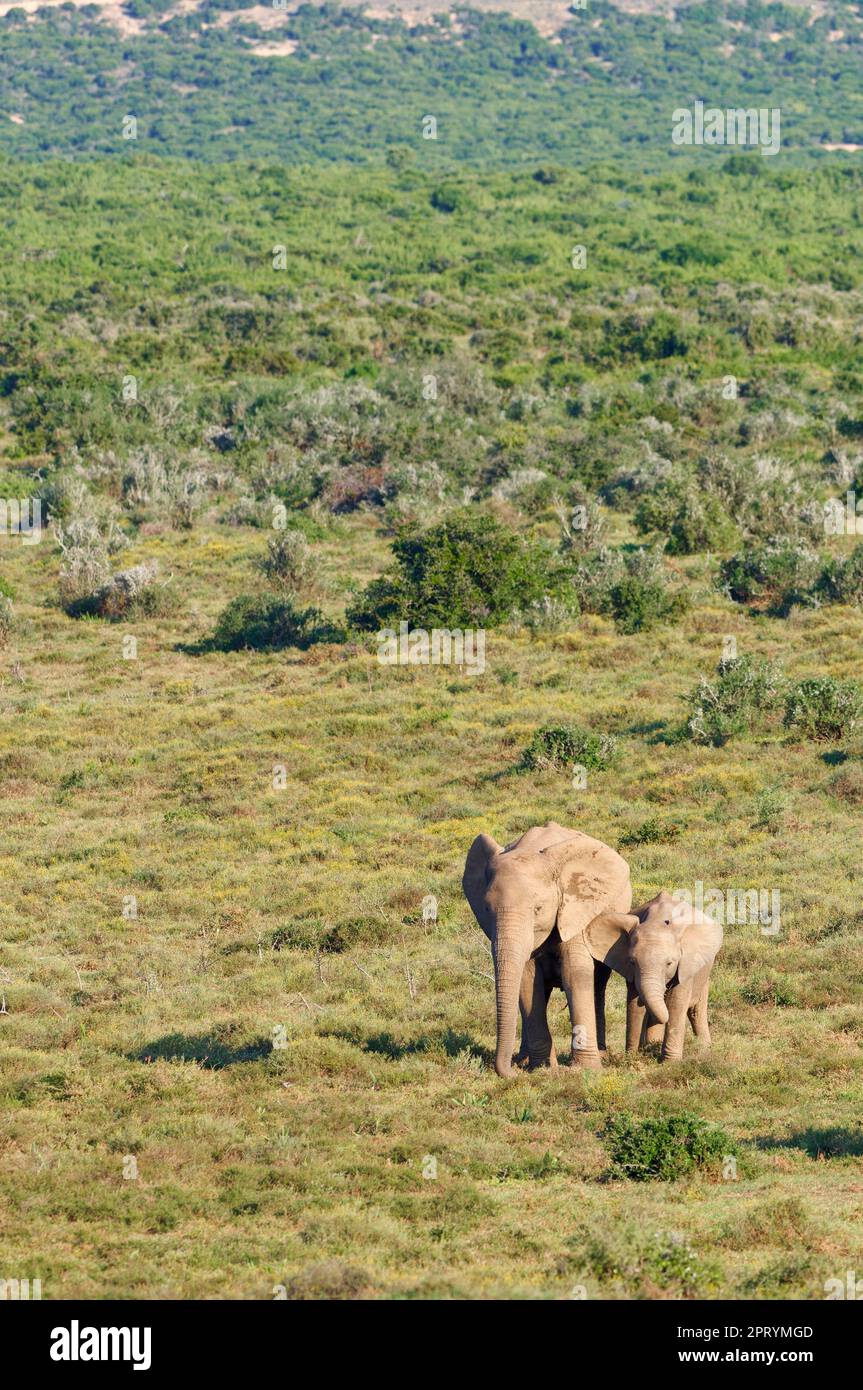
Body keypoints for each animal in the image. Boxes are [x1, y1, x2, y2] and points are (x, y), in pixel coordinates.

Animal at [462, 822, 632, 1076]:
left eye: (538, 909)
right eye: (486, 909)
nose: (511, 1075)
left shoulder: (574, 909)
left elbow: (575, 973)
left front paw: (586, 1069)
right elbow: (527, 980)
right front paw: (543, 1068)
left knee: (598, 982)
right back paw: (523, 1060)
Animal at [585, 891, 722, 1062]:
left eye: (670, 963)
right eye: (632, 962)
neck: (658, 920)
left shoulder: (685, 964)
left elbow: (676, 1003)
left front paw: (670, 1062)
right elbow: (635, 1004)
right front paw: (632, 1057)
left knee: (696, 1010)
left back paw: (703, 1051)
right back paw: (651, 1046)